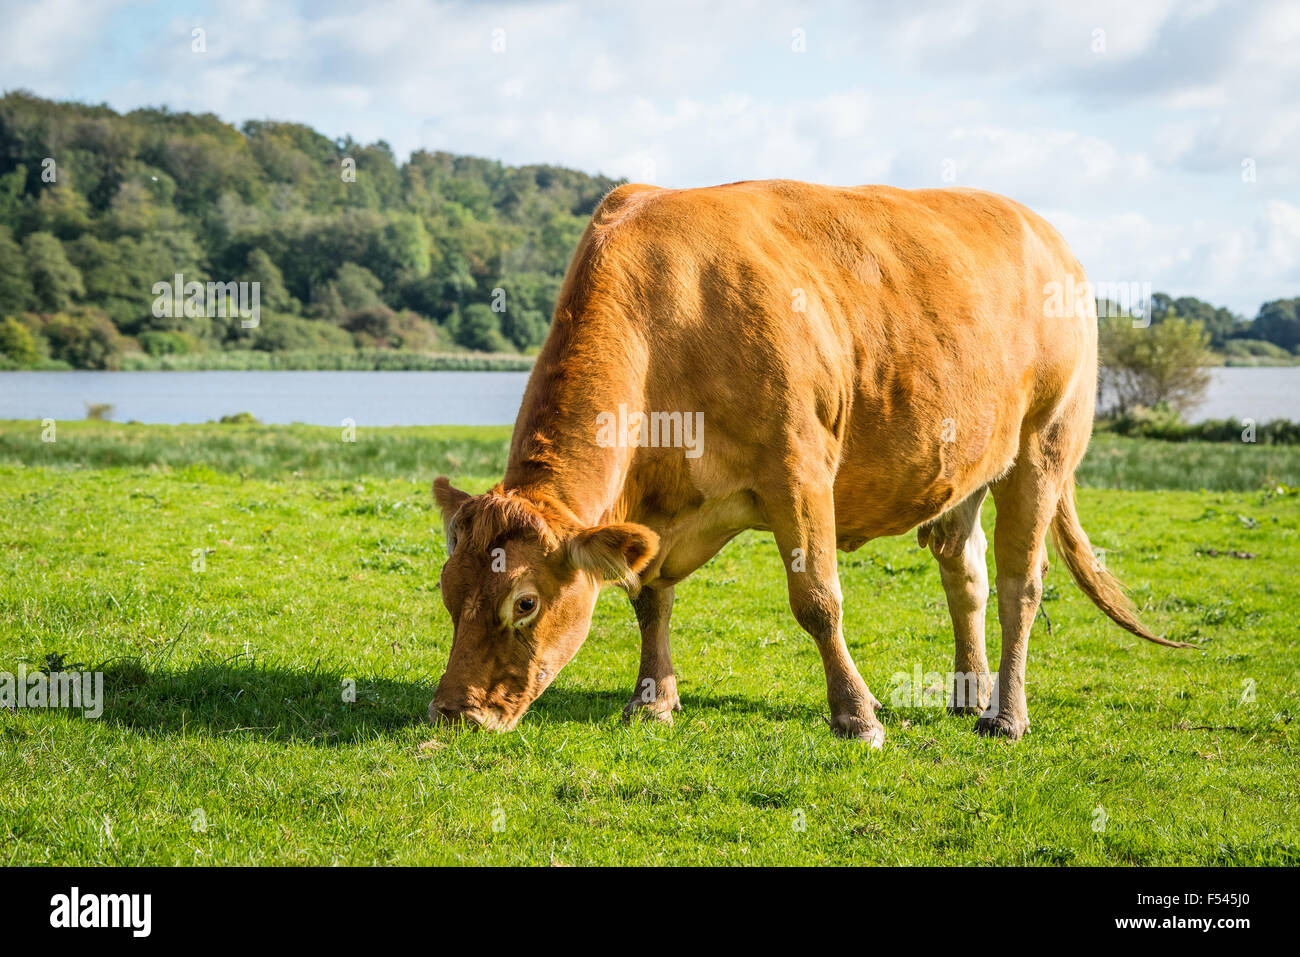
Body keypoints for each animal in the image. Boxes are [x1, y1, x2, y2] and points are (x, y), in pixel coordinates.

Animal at [429, 179, 1186, 747]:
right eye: (446, 591)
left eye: (525, 603)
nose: (454, 713)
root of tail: (1044, 231)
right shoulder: (653, 511)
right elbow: (649, 596)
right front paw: (652, 701)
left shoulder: (799, 468)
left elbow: (818, 600)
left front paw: (857, 715)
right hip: (968, 461)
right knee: (963, 570)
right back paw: (969, 694)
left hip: (1044, 444)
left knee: (1019, 584)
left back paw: (1007, 716)